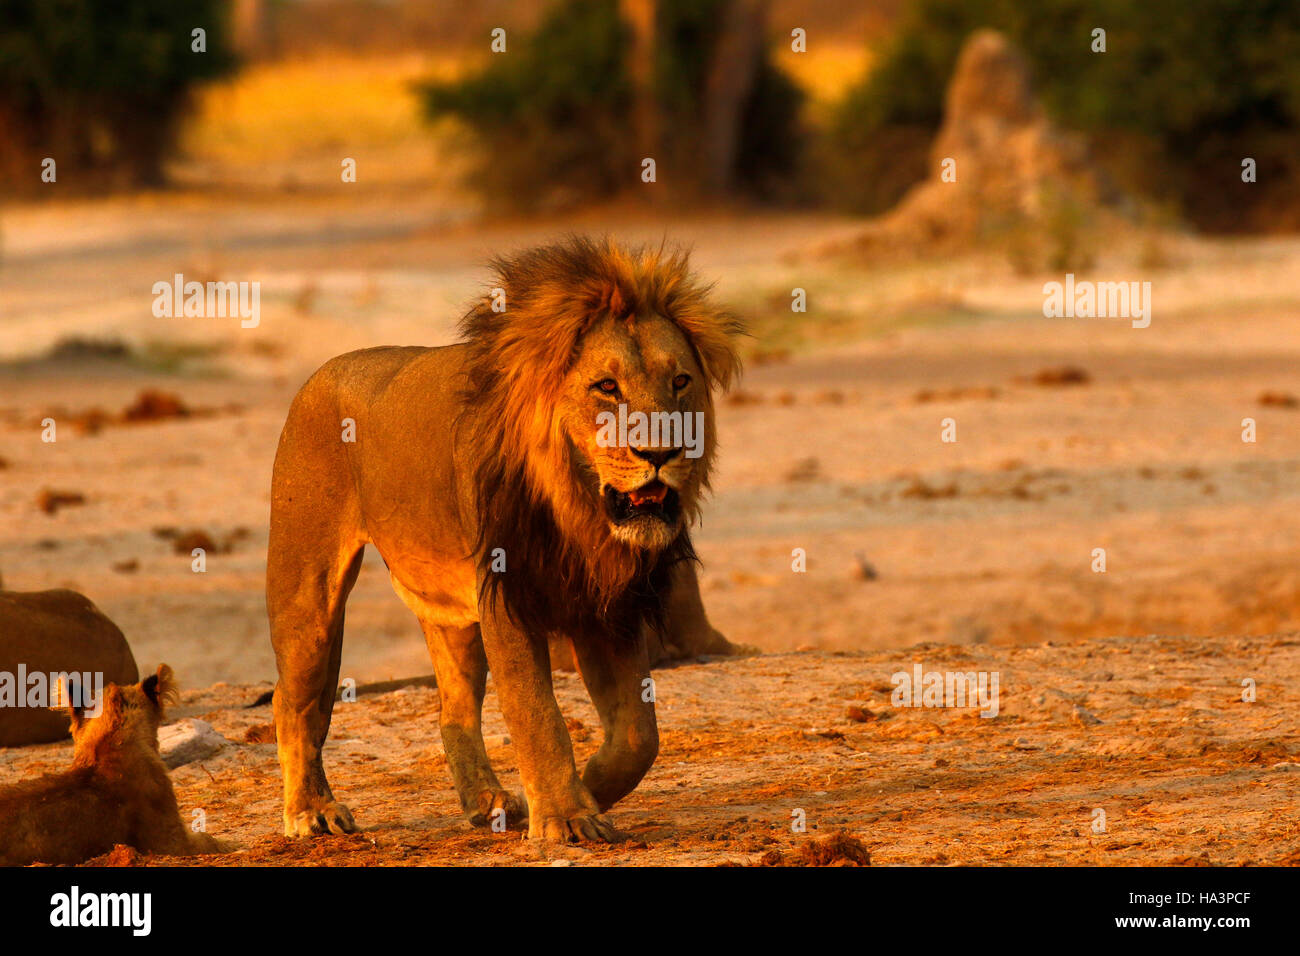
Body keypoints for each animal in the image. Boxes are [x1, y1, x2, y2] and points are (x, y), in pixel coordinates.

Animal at [267, 236, 743, 842]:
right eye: (606, 387)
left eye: (680, 381)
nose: (662, 452)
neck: (579, 510)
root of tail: (322, 372)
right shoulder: (508, 595)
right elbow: (536, 711)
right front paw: (567, 816)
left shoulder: (606, 607)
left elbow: (639, 736)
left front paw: (587, 792)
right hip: (308, 594)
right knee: (294, 702)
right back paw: (312, 809)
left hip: (453, 616)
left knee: (452, 710)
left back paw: (488, 801)